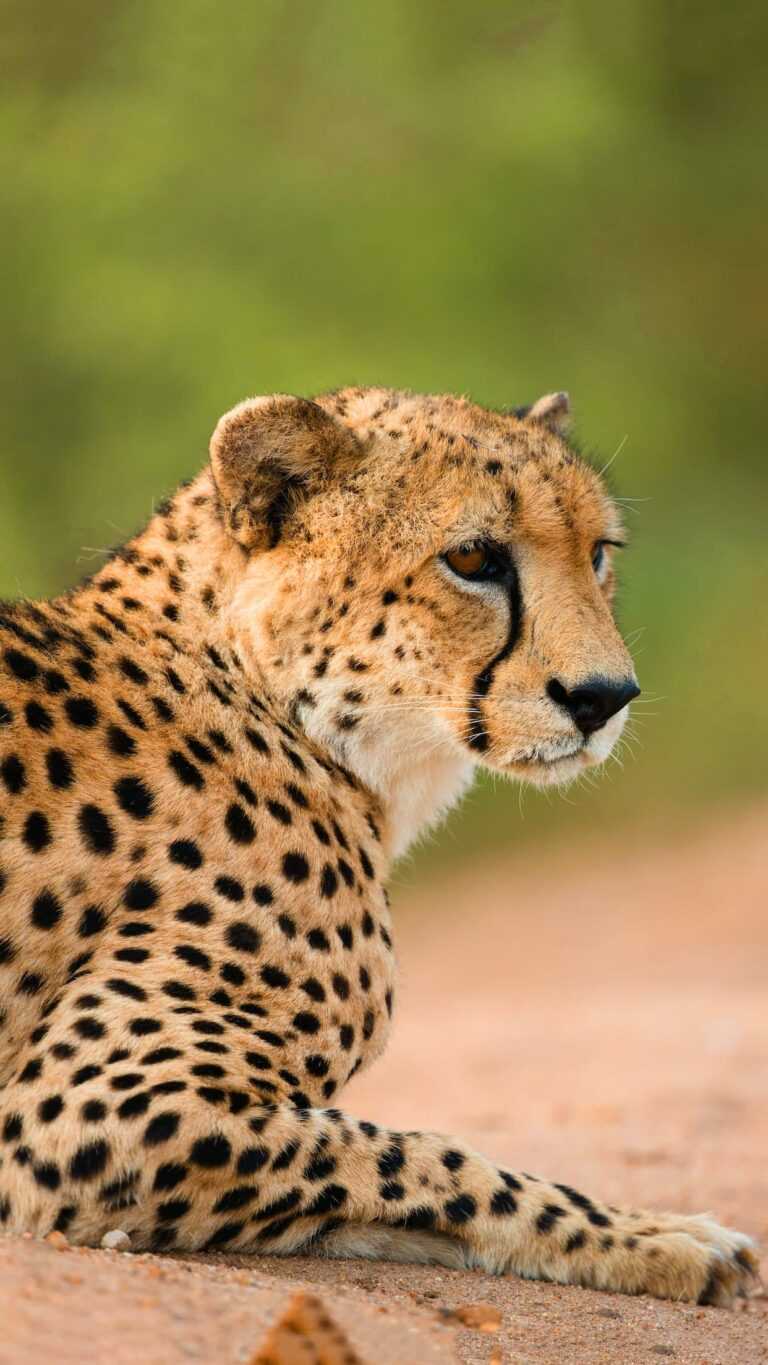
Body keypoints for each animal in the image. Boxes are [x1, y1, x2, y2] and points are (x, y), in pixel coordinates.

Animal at [0, 386, 758, 1306]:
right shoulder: (85, 1113)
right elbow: (435, 1156)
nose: (604, 697)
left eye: (598, 553)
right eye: (471, 556)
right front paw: (660, 1236)